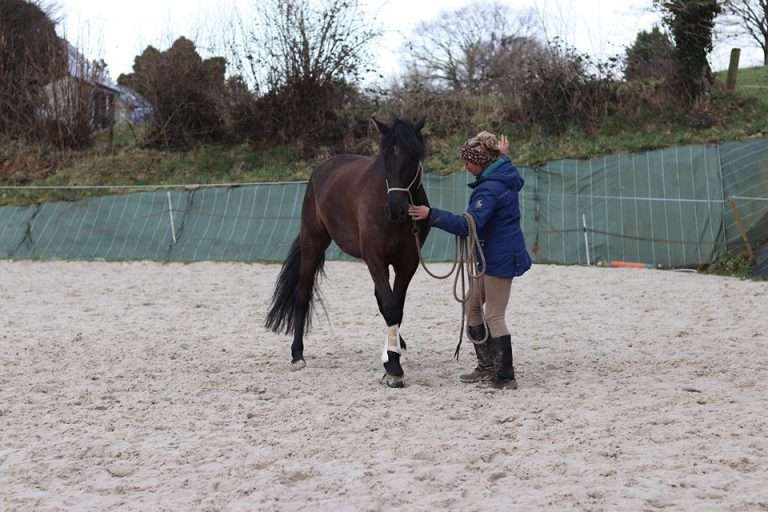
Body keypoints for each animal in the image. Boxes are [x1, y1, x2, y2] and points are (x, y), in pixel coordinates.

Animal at [265, 117, 430, 387]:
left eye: (414, 155)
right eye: (385, 157)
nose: (396, 209)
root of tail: (322, 169)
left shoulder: (408, 263)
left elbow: (396, 306)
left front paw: (392, 355)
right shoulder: (376, 259)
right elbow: (390, 306)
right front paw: (393, 368)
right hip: (313, 242)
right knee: (302, 293)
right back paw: (297, 355)